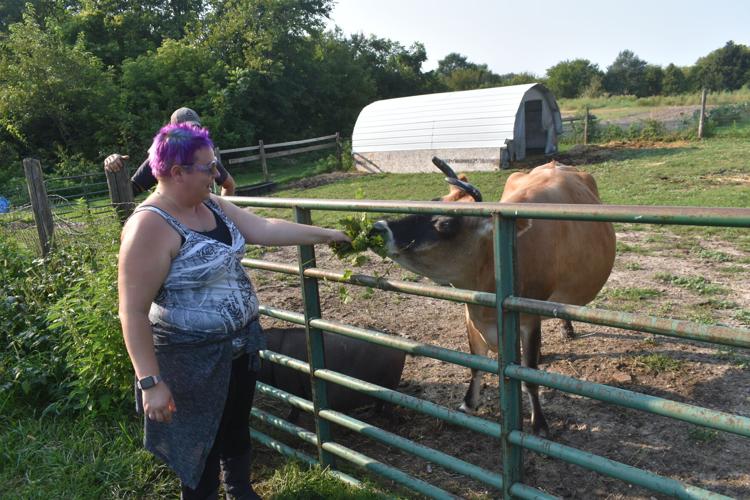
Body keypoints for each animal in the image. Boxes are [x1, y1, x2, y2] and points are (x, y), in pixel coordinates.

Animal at [259, 327, 406, 422]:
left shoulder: (292, 389)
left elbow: (294, 406)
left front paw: (288, 419)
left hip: (390, 384)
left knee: (387, 406)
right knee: (380, 404)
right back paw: (370, 414)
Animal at [371, 158, 616, 436]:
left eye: (445, 224)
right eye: (432, 201)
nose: (378, 228)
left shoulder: (529, 318)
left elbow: (529, 375)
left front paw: (540, 424)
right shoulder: (470, 313)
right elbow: (475, 362)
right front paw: (467, 404)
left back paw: (567, 329)